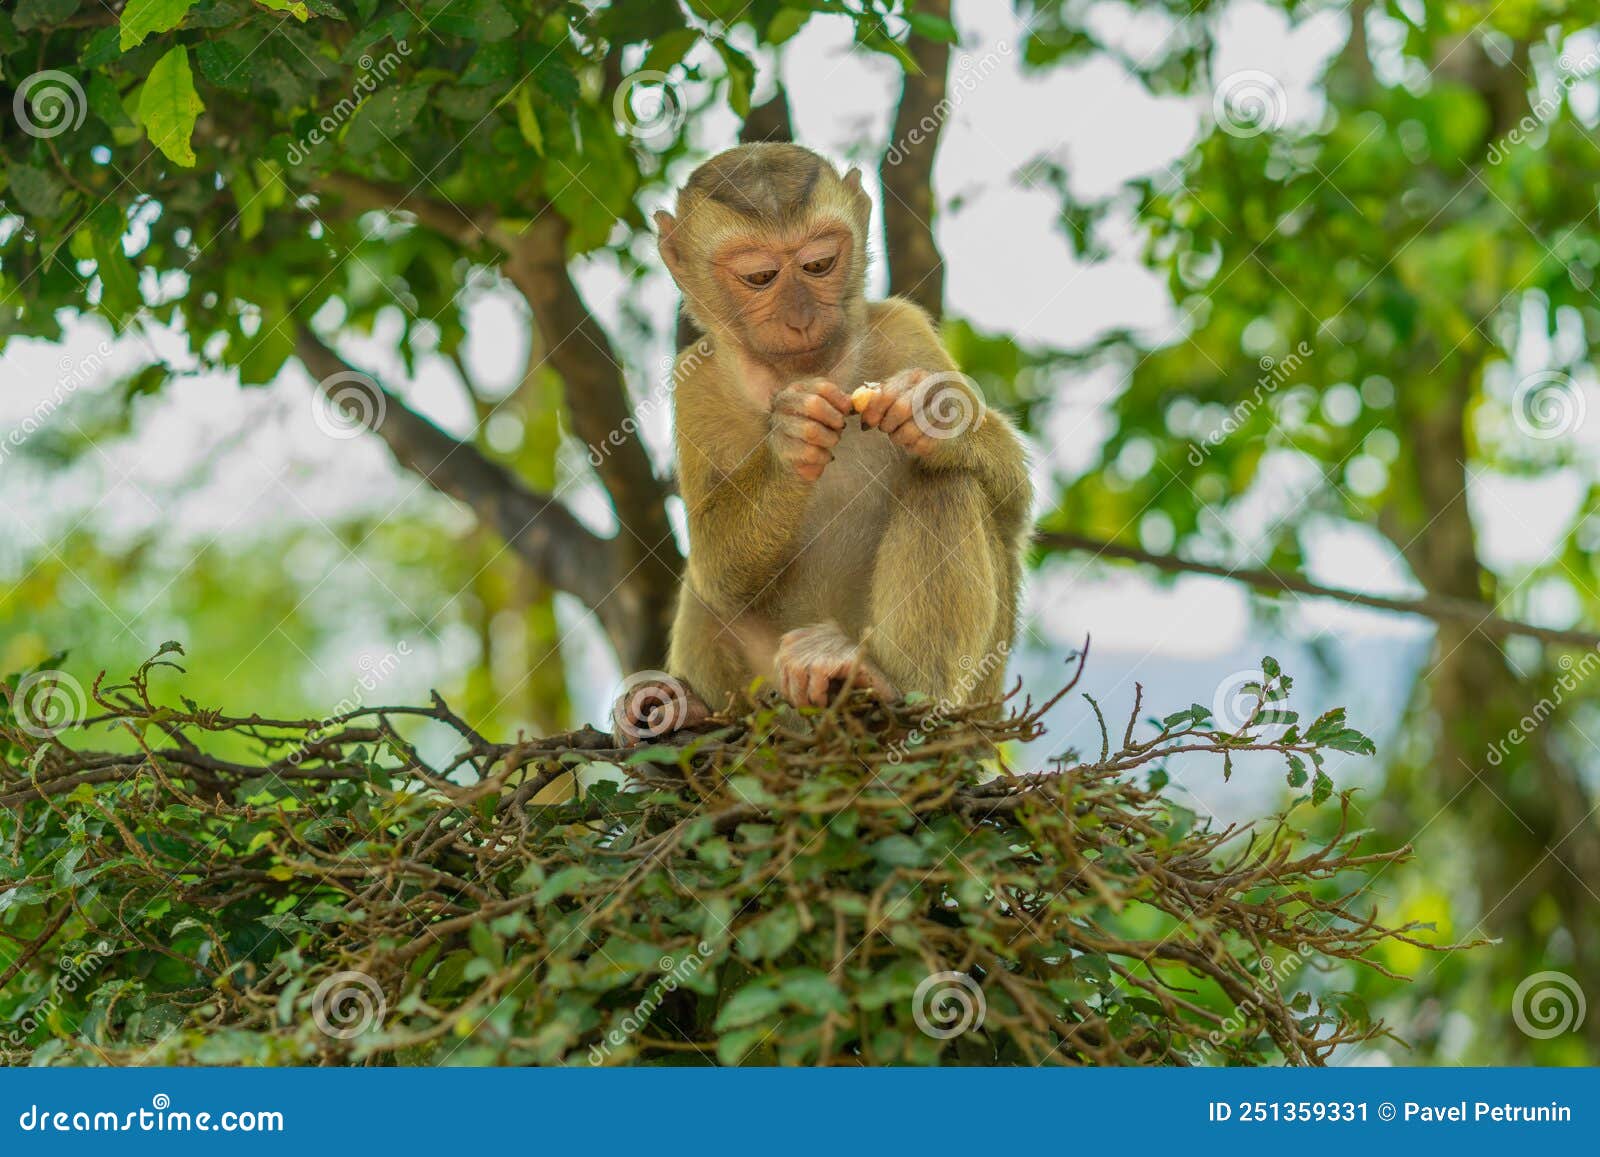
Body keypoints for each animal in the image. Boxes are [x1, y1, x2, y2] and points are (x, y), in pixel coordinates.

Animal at [612, 142, 1031, 743]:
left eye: (818, 264)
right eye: (760, 276)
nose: (801, 318)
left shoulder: (904, 330)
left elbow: (1015, 509)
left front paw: (934, 415)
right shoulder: (694, 385)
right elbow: (715, 571)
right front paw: (789, 443)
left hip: (977, 707)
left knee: (946, 485)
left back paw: (888, 682)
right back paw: (684, 708)